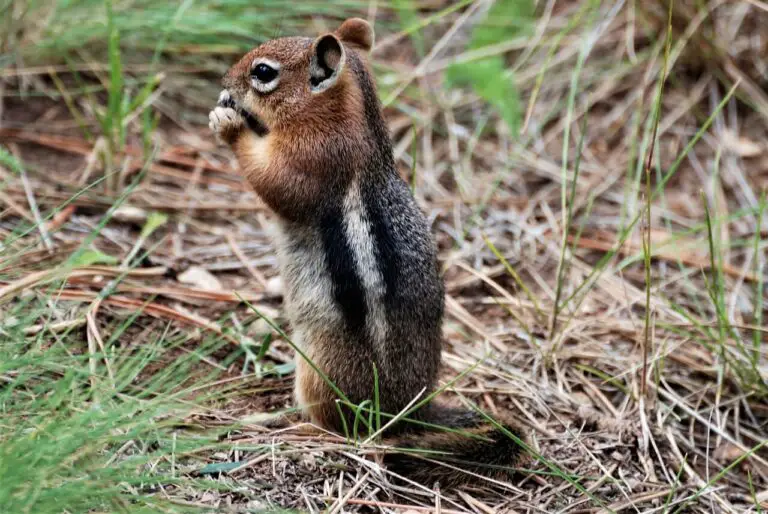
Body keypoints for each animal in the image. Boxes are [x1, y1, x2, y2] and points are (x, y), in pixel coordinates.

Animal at [209, 18, 529, 487]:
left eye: (263, 72)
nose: (224, 83)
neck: (346, 117)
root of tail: (409, 415)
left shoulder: (316, 156)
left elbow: (275, 180)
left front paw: (229, 122)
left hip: (320, 366)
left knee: (342, 424)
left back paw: (296, 426)